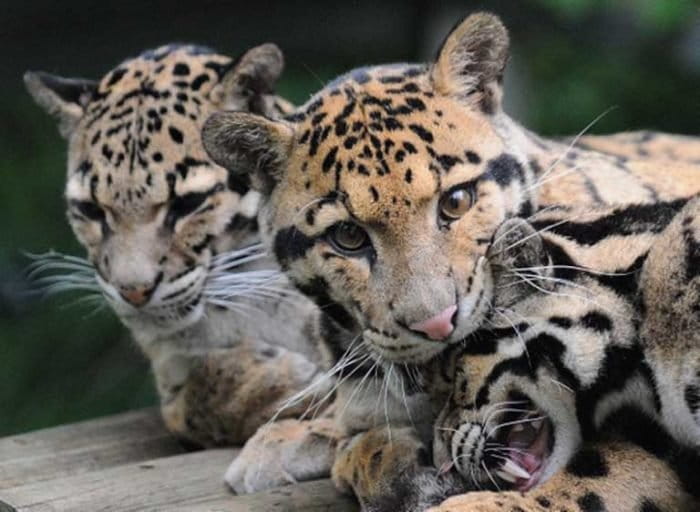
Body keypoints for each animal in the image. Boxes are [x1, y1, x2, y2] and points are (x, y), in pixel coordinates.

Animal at [24, 43, 331, 447]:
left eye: (187, 204)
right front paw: (294, 381)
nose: (133, 291)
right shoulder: (171, 371)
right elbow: (197, 396)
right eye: (91, 209)